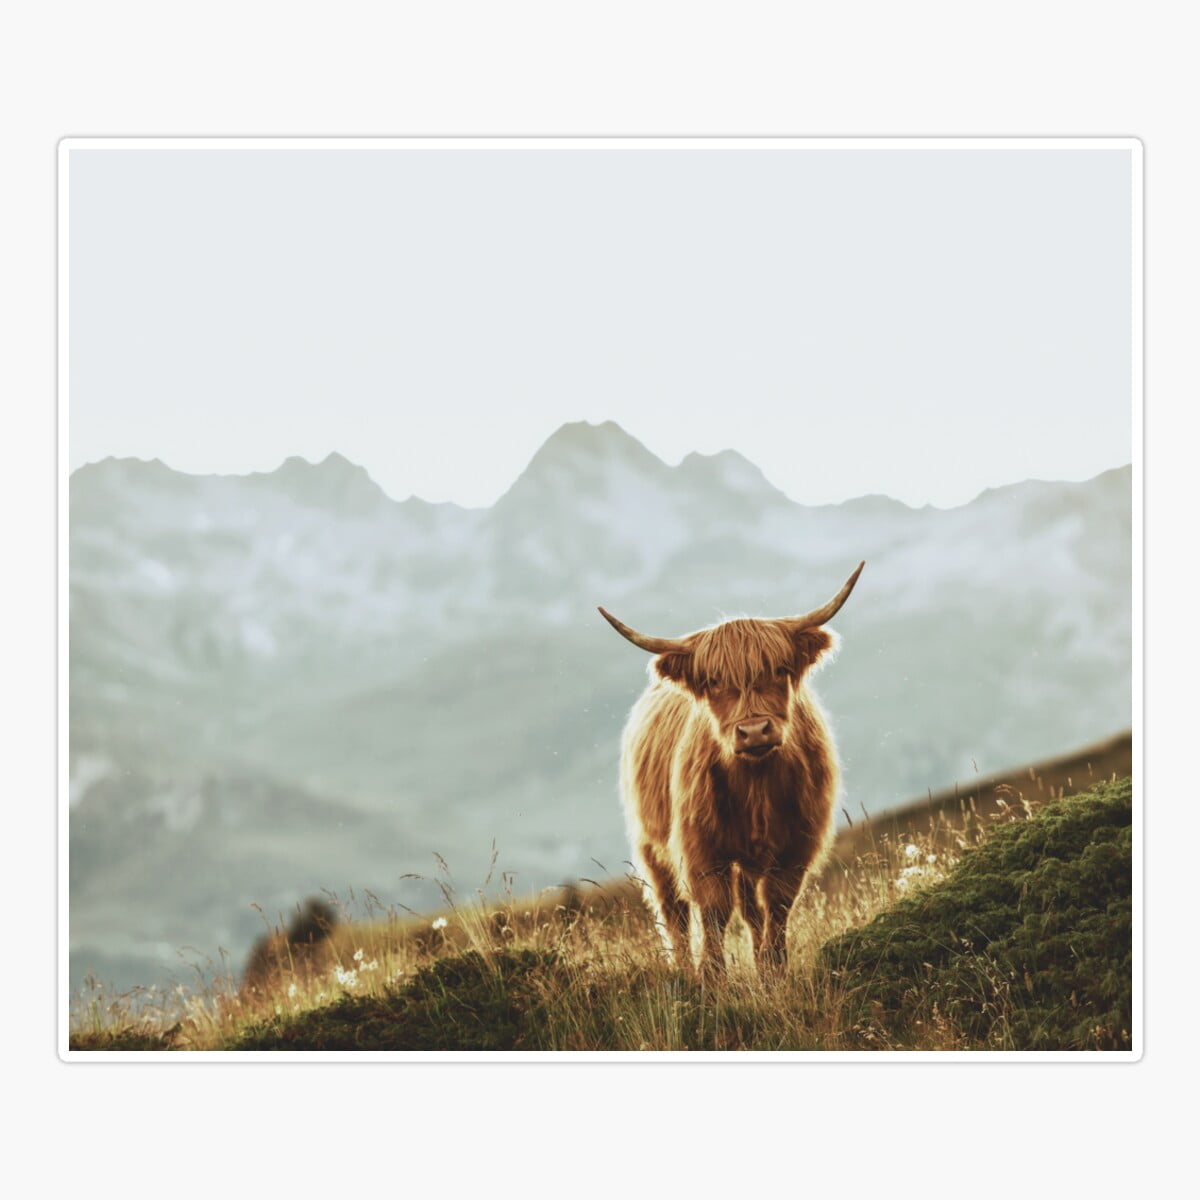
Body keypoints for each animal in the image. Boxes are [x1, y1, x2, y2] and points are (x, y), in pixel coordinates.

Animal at [599, 562, 863, 980]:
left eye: (780, 669)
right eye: (712, 681)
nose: (754, 731)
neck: (756, 783)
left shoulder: (797, 844)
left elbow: (777, 904)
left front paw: (774, 969)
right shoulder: (700, 848)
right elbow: (714, 910)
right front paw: (712, 976)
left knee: (751, 907)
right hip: (650, 846)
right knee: (673, 911)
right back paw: (683, 968)